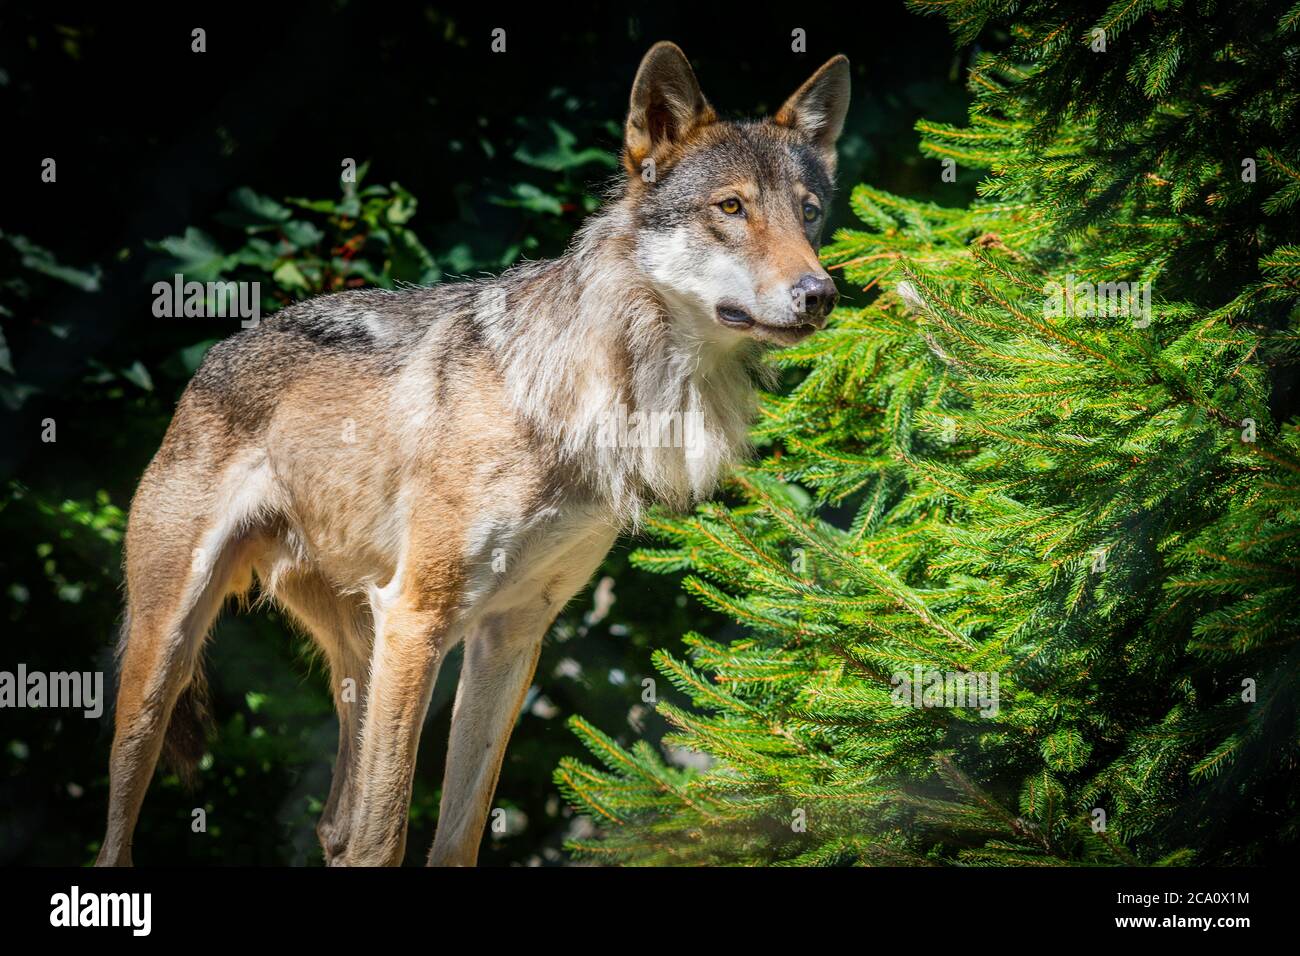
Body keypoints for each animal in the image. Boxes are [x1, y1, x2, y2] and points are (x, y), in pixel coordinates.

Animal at [97, 42, 849, 867]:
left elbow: (457, 832)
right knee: (126, 828)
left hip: (362, 660)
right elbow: (386, 835)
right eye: (732, 209)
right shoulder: (420, 617)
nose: (819, 295)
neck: (593, 398)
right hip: (167, 657)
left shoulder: (512, 634)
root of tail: (219, 350)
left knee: (333, 825)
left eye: (809, 213)